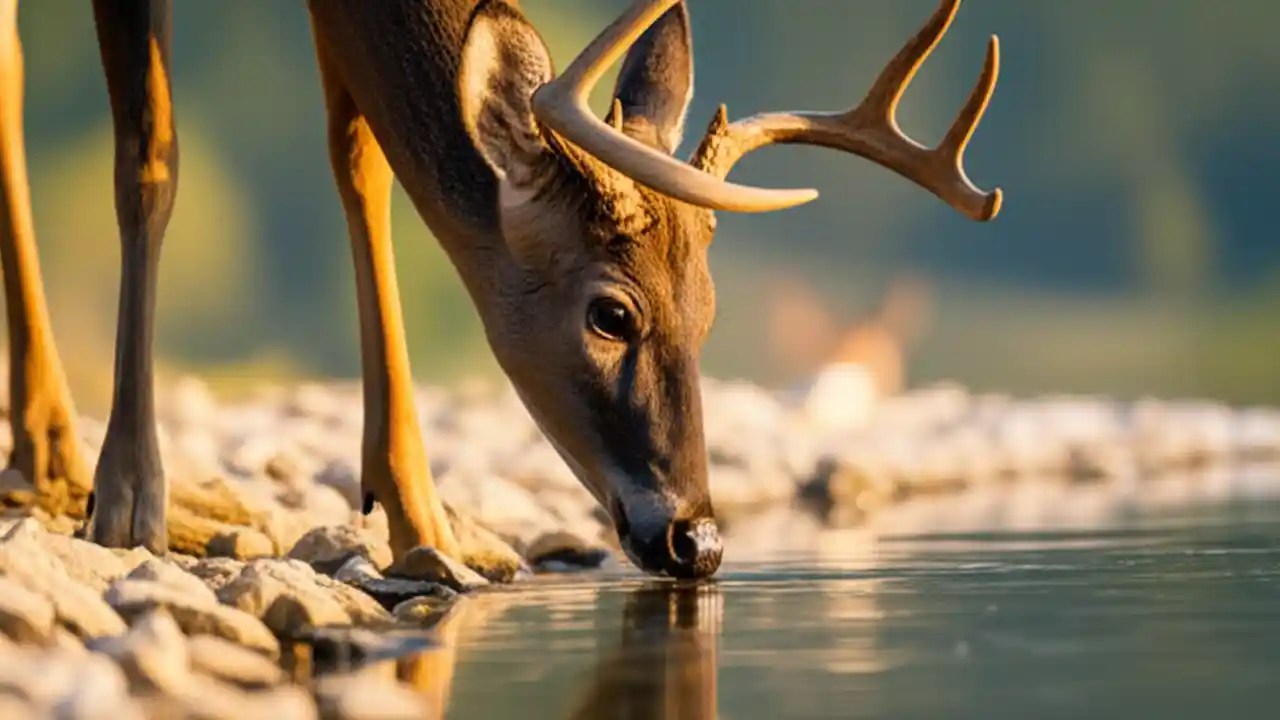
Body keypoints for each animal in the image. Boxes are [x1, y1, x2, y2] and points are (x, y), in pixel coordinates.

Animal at [0, 0, 1000, 579]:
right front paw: (129, 503)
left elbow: (358, 160)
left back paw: (46, 449)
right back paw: (59, 458)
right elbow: (150, 153)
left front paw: (419, 518)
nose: (699, 541)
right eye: (611, 311)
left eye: (710, 313)